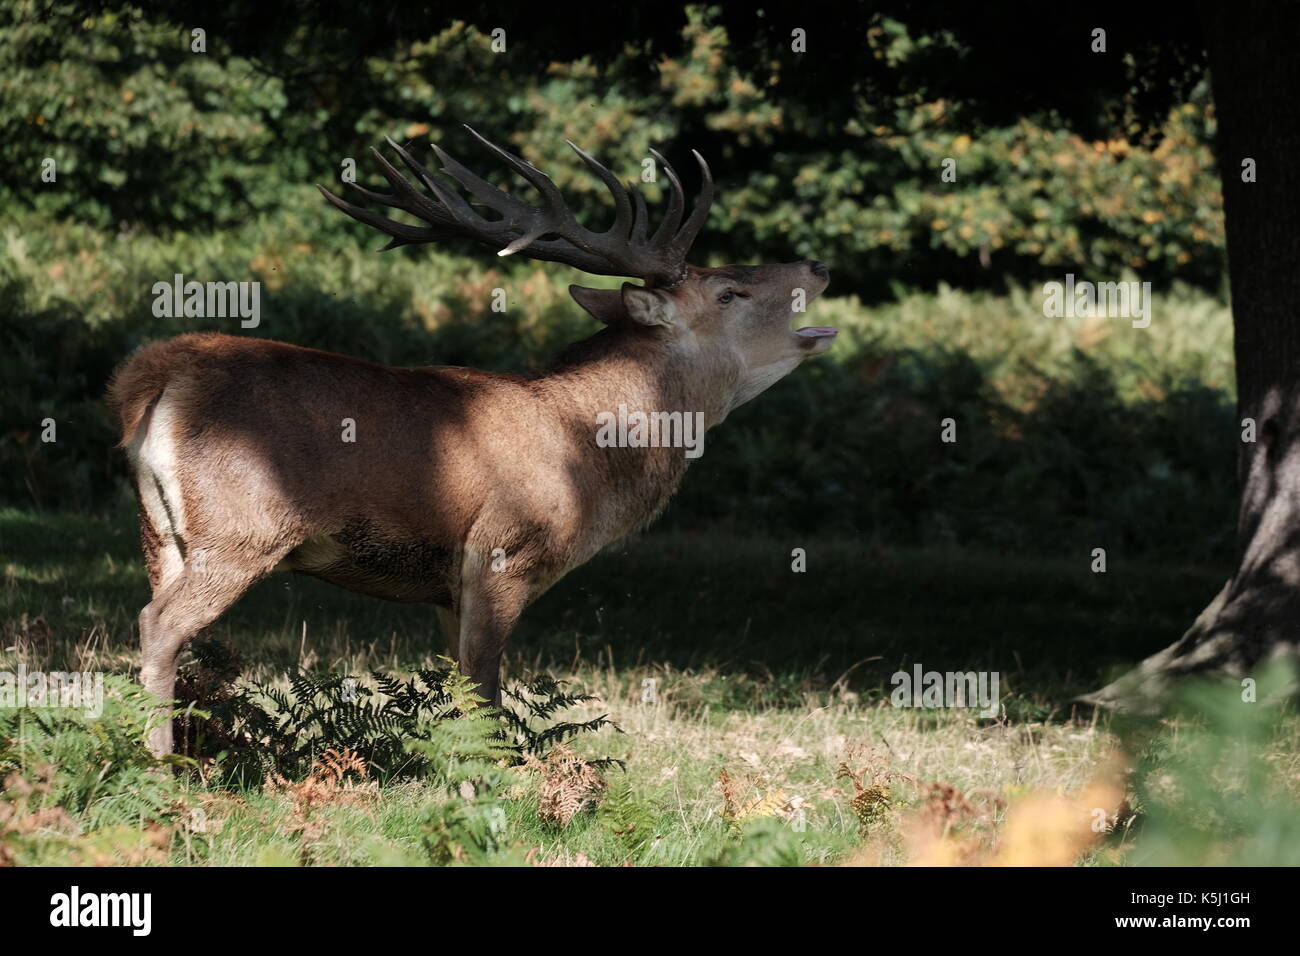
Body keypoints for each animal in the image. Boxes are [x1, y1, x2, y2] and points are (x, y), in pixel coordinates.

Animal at [108, 127, 836, 755]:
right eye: (729, 291)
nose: (819, 264)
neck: (589, 458)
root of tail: (152, 380)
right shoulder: (500, 551)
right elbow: (485, 689)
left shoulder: (442, 589)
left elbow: (456, 688)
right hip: (242, 526)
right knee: (159, 624)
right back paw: (162, 766)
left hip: (159, 530)